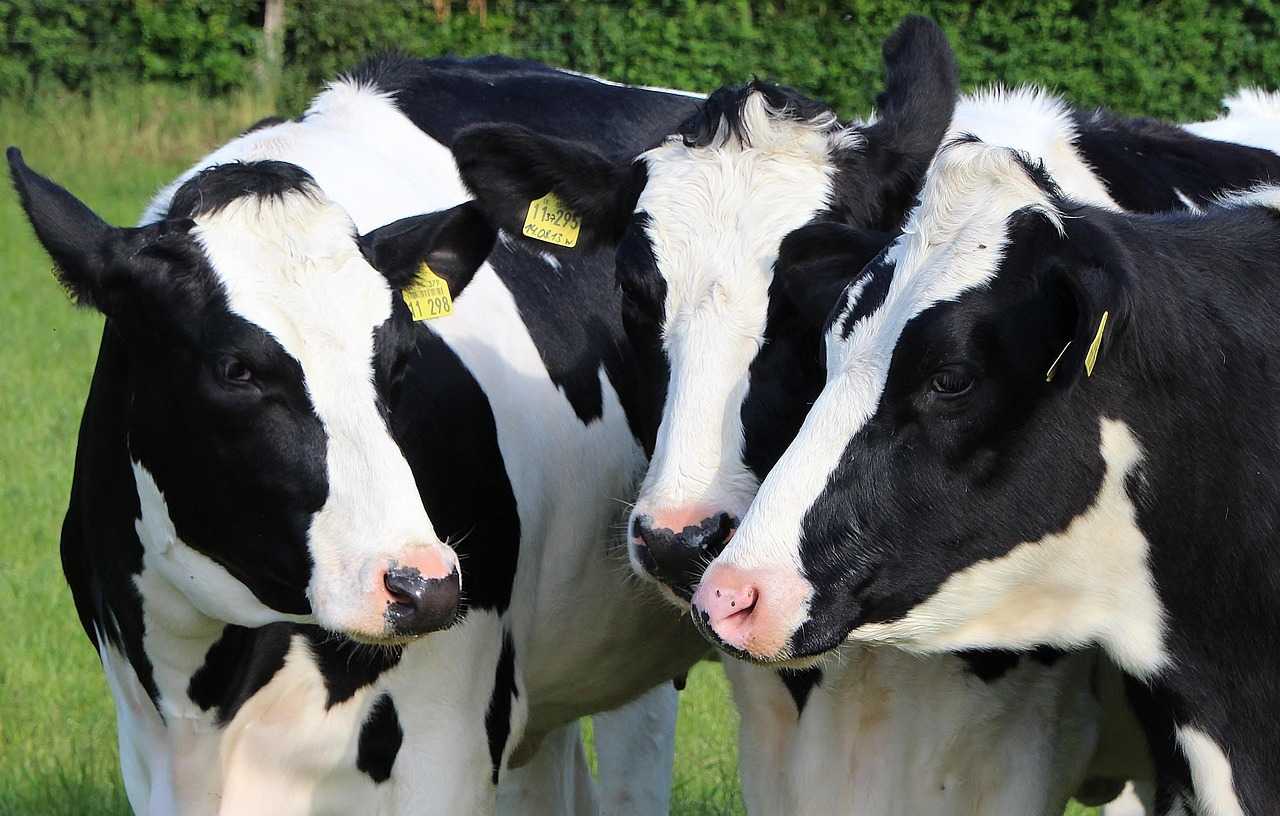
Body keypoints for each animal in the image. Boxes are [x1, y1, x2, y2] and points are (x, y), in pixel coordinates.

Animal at [10, 56, 710, 815]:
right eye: (237, 369)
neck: (218, 684)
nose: (420, 585)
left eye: (400, 357)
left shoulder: (447, 747)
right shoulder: (149, 752)